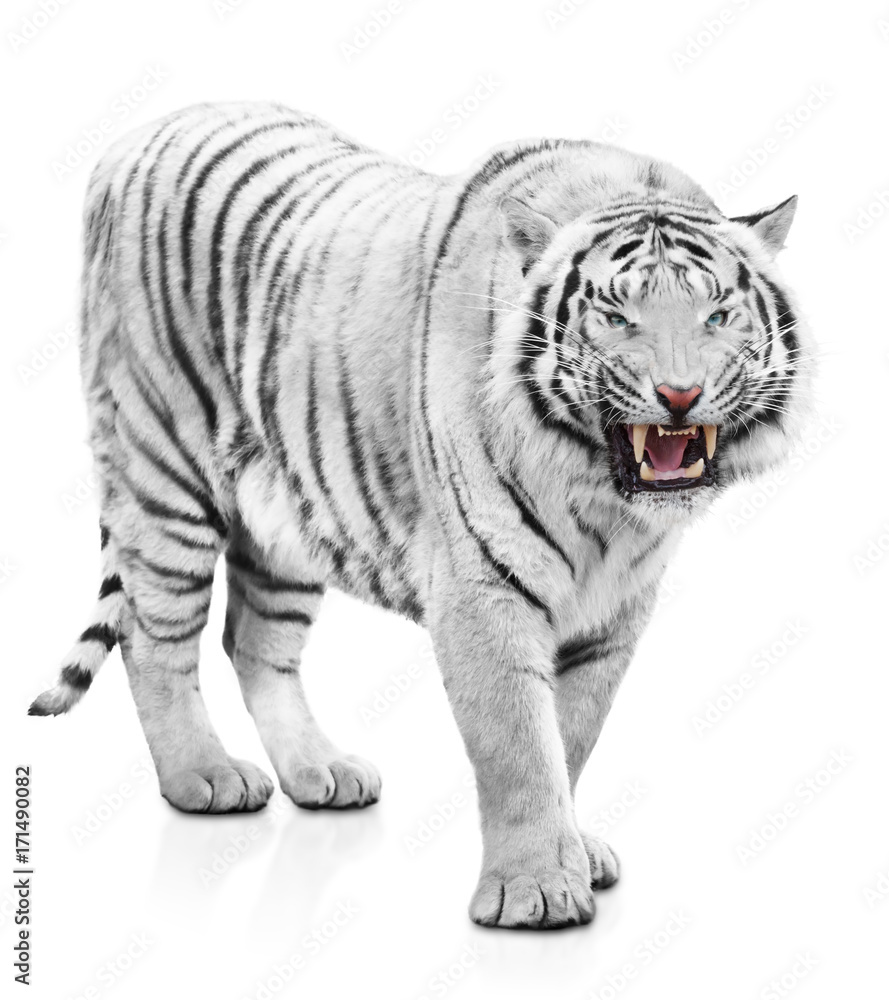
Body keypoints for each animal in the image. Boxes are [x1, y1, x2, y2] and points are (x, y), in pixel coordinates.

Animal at [30, 101, 811, 929]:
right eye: (614, 316)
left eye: (717, 314)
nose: (678, 396)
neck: (603, 503)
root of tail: (139, 134)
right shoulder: (481, 591)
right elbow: (517, 744)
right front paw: (534, 890)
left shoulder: (614, 615)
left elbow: (571, 735)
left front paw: (573, 856)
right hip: (165, 473)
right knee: (153, 637)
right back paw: (203, 776)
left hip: (285, 513)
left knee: (253, 641)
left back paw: (319, 770)